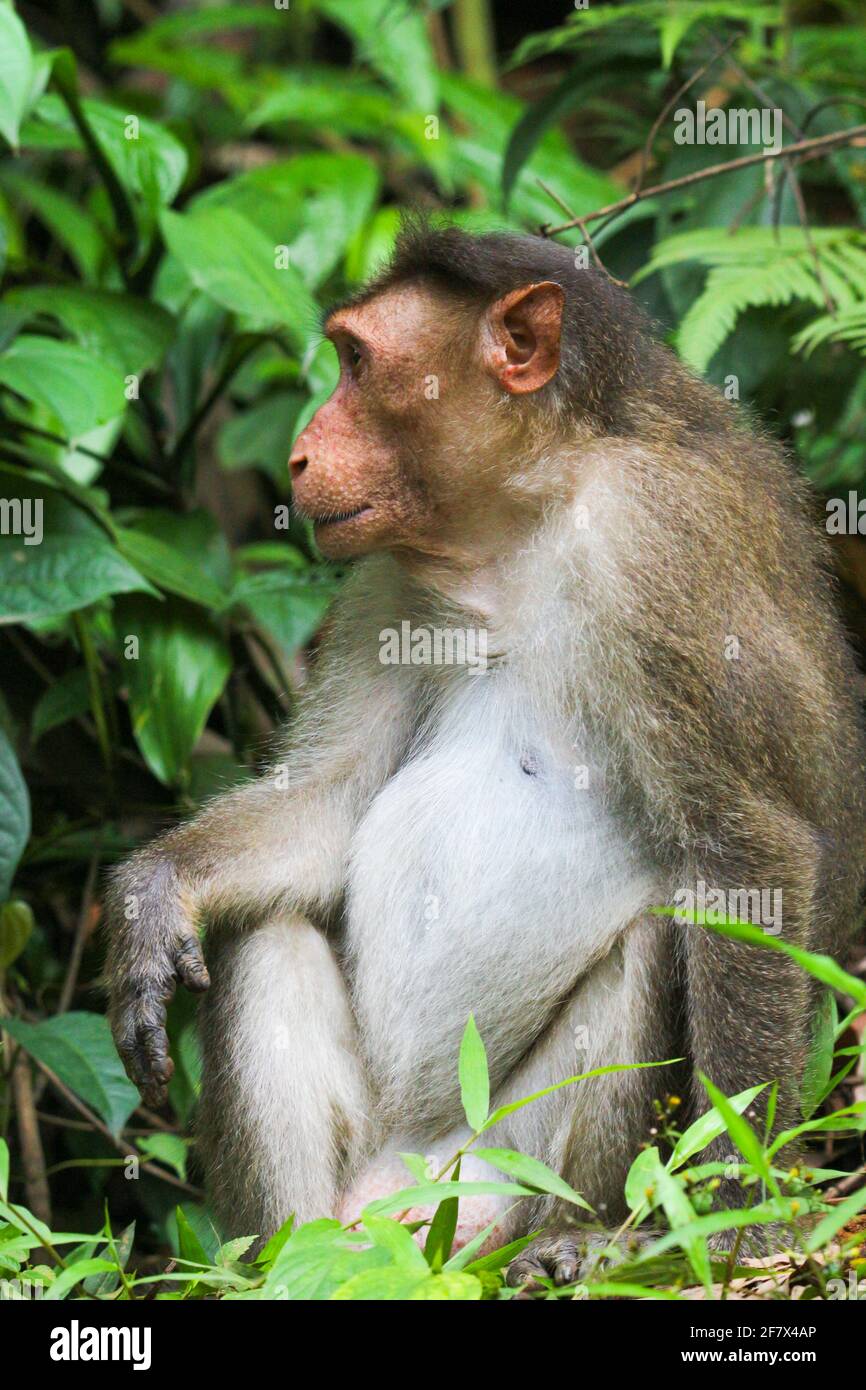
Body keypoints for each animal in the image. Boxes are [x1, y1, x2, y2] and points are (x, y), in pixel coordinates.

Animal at [105, 221, 866, 1289]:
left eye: (355, 363)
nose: (299, 455)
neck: (522, 521)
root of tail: (398, 1197)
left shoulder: (658, 553)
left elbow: (749, 858)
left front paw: (735, 1224)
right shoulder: (386, 579)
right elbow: (331, 806)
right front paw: (152, 895)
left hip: (494, 1166)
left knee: (655, 939)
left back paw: (573, 1241)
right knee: (263, 932)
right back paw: (280, 1262)